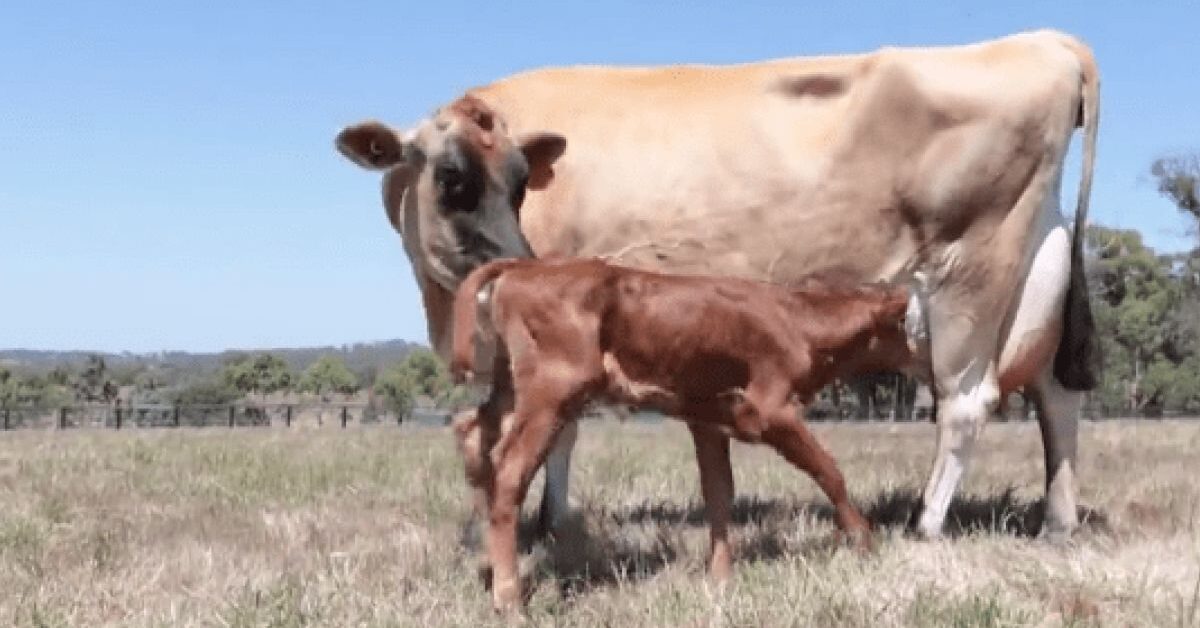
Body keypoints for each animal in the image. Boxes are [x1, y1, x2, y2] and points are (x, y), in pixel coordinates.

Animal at [334, 29, 1100, 544]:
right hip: (1039, 272)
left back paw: (925, 523)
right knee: (1055, 395)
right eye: (453, 178)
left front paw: (521, 522)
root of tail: (1040, 40)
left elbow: (540, 426)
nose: (522, 261)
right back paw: (1057, 521)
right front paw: (553, 521)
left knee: (968, 401)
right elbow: (553, 428)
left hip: (971, 275)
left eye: (522, 183)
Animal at [449, 257, 921, 610]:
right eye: (910, 321)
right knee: (510, 470)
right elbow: (829, 471)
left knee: (472, 434)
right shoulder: (772, 411)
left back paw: (486, 564)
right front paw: (864, 539)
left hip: (513, 389)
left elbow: (719, 492)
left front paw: (721, 578)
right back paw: (509, 599)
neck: (797, 320)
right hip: (553, 390)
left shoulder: (708, 419)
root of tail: (526, 267)